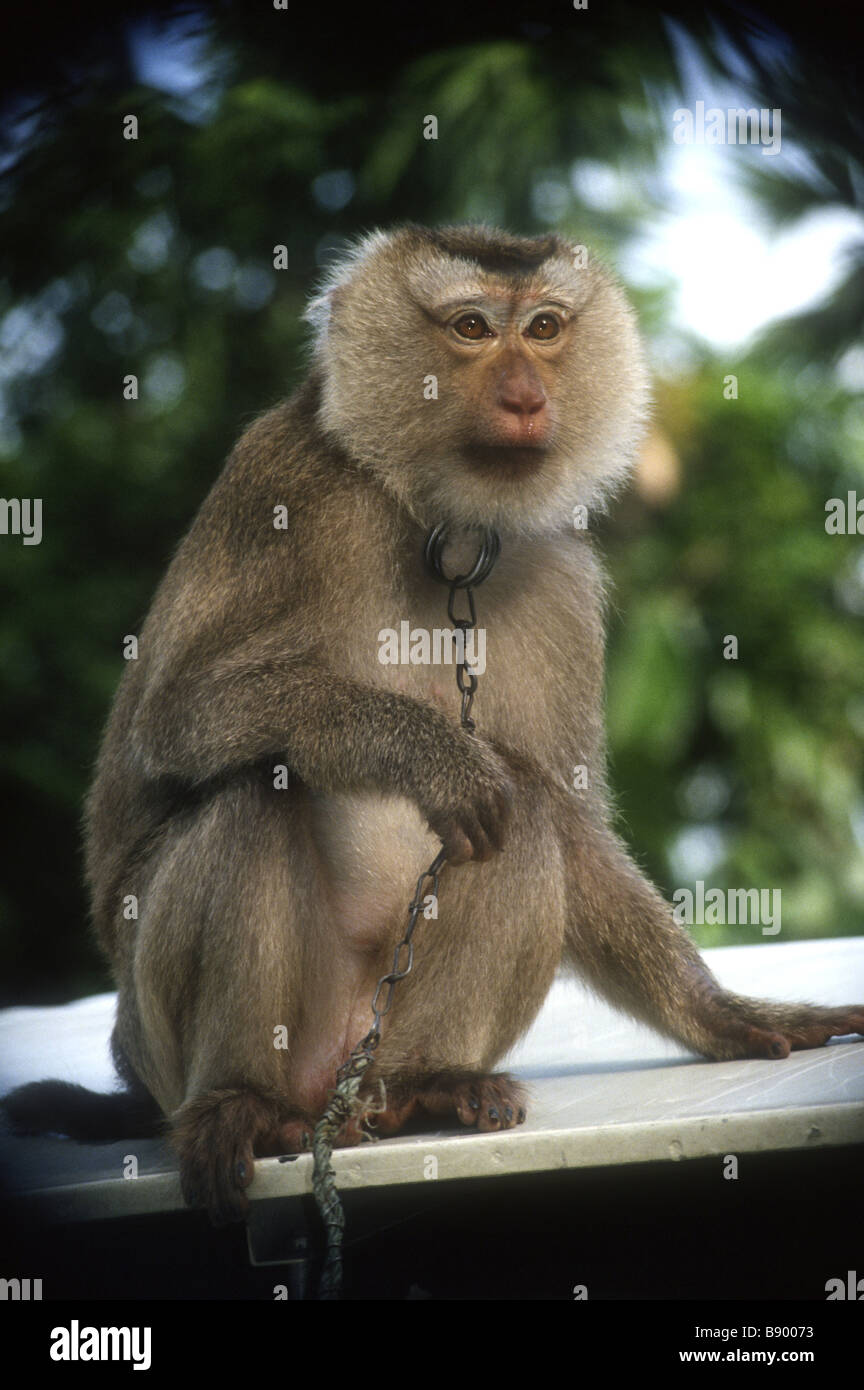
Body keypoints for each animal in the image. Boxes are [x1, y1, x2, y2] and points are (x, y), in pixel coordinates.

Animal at [5, 224, 863, 1226]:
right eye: (470, 328)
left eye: (543, 327)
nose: (527, 396)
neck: (442, 519)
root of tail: (333, 1088)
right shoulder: (284, 480)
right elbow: (177, 719)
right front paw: (425, 755)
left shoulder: (560, 574)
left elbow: (569, 823)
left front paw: (725, 1014)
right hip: (156, 1037)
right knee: (262, 785)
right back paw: (240, 1101)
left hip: (374, 1041)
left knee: (521, 814)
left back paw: (430, 1086)